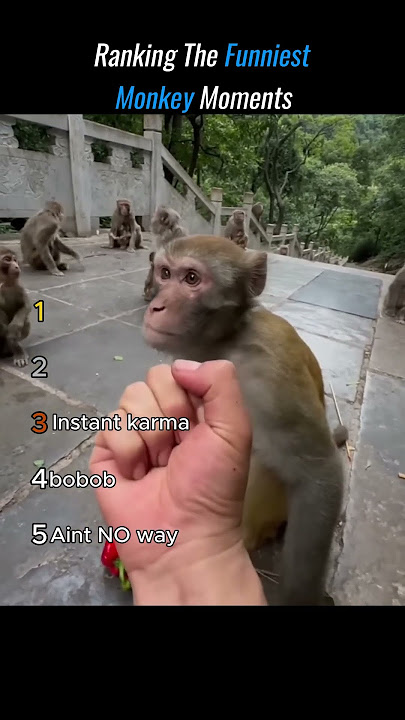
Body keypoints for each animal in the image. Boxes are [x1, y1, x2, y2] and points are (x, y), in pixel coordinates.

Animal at [142, 235, 348, 606]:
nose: (157, 306)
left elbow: (319, 474)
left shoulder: (270, 375)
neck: (227, 340)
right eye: (165, 273)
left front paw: (299, 596)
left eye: (191, 278)